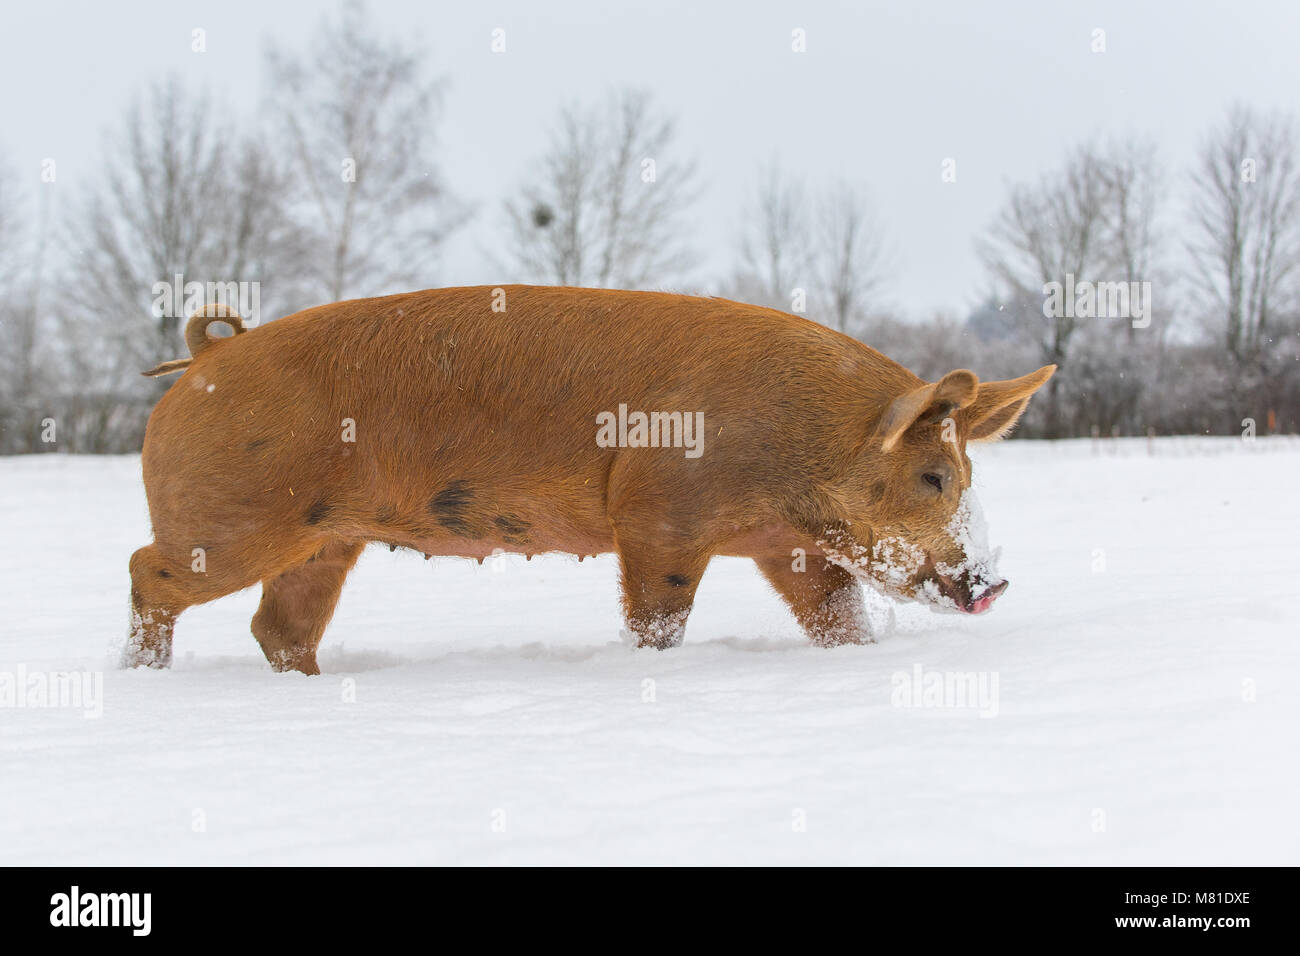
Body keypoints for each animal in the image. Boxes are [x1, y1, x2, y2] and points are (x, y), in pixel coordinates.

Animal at [127, 286, 1054, 674]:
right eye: (932, 474)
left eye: (967, 470)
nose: (993, 581)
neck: (805, 446)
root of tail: (204, 360)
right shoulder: (657, 515)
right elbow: (659, 619)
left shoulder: (782, 546)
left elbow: (836, 615)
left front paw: (854, 659)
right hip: (234, 520)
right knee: (148, 570)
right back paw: (144, 676)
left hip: (325, 541)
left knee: (278, 628)